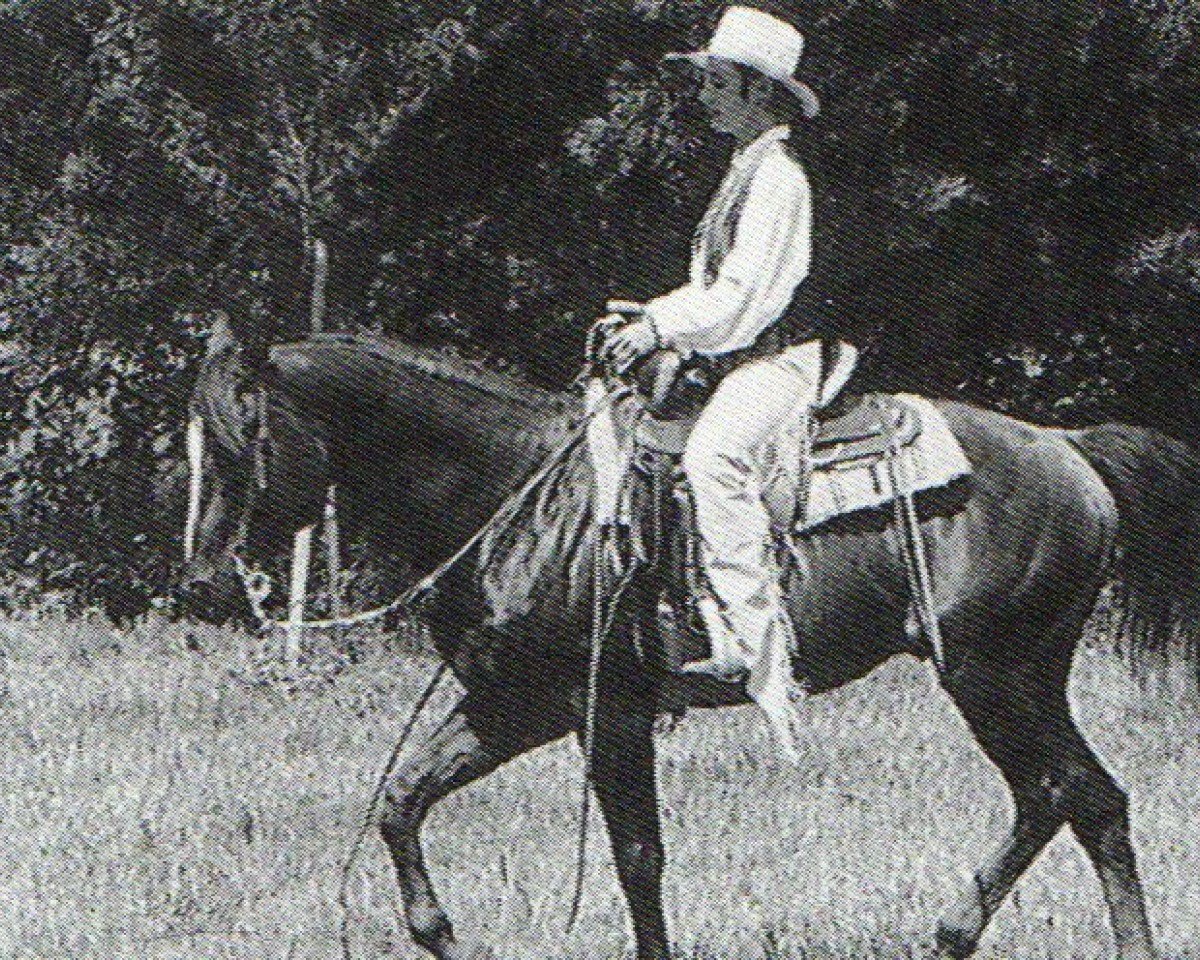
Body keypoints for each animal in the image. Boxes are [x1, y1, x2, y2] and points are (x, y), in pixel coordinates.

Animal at [179, 326, 1200, 960]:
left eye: (236, 447)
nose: (199, 584)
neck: (516, 490)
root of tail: (1070, 448)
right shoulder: (517, 704)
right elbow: (400, 798)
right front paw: (437, 932)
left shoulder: (612, 711)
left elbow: (639, 858)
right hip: (1020, 676)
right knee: (1073, 798)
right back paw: (955, 935)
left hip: (996, 674)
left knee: (1073, 796)